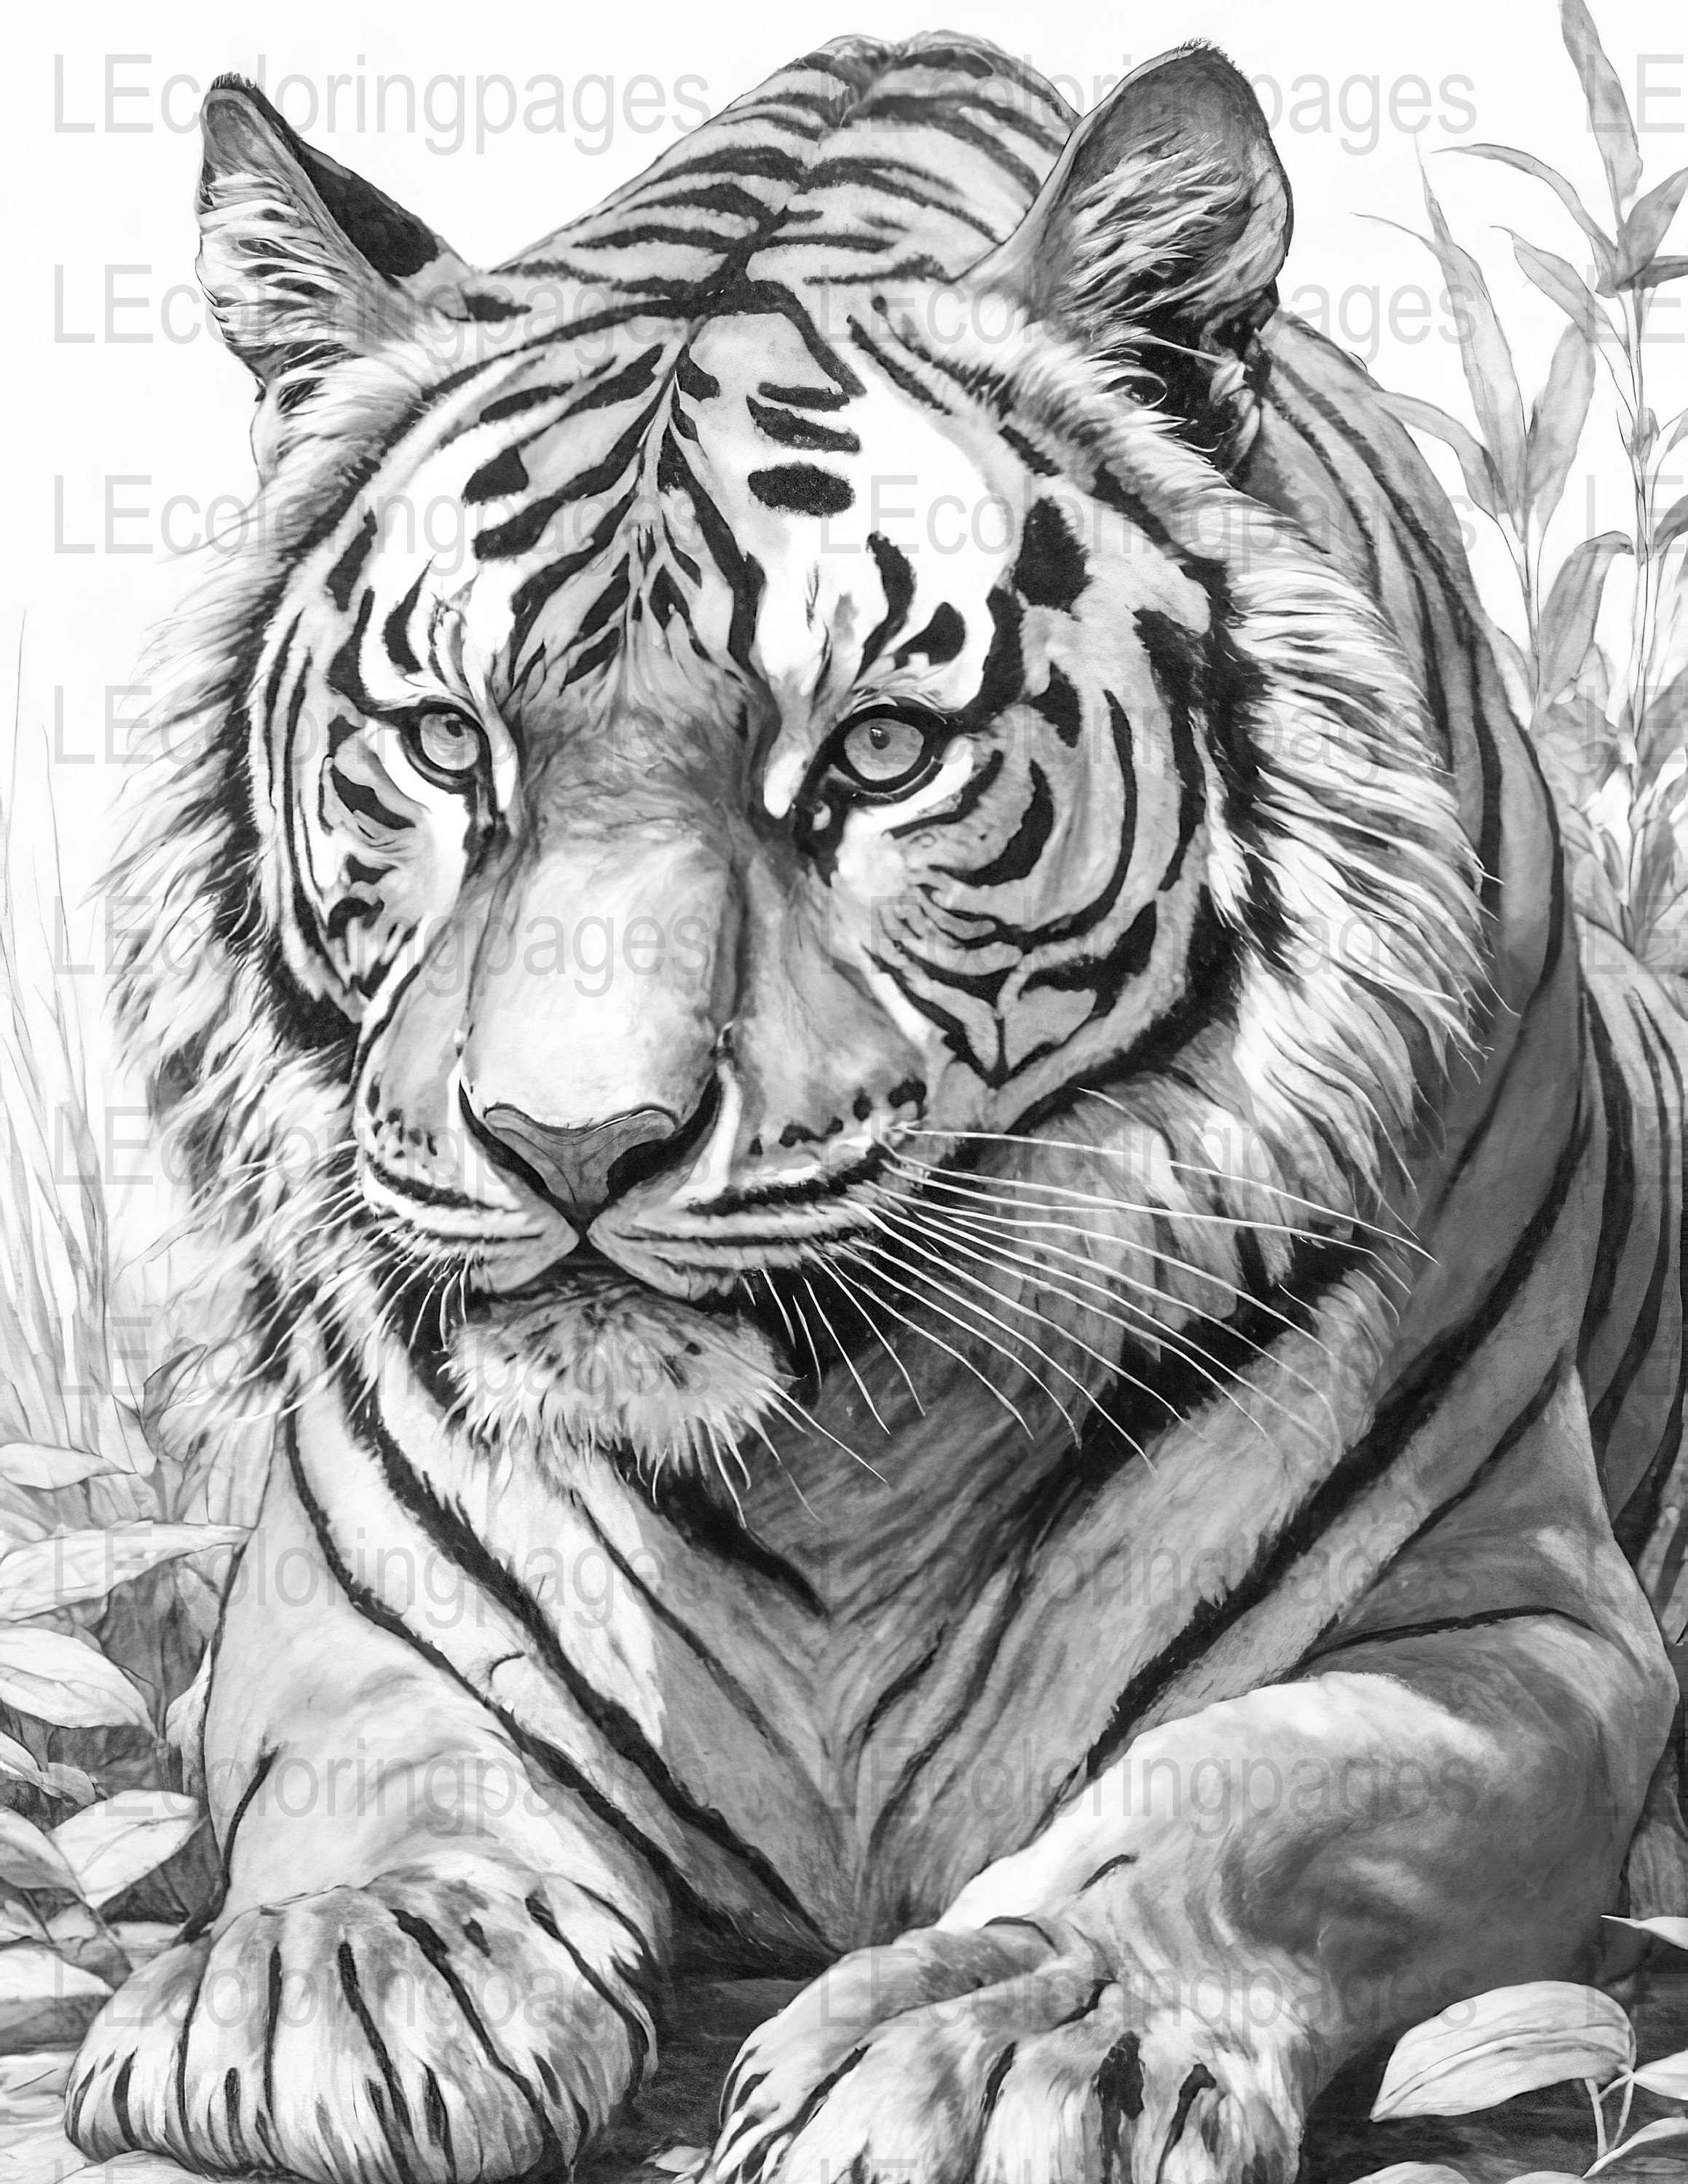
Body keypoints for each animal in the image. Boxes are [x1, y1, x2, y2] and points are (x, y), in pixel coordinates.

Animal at [67, 30, 1688, 2184]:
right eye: (443, 743)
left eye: (882, 755)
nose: (572, 1150)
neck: (828, 1461)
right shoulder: (344, 1602)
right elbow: (370, 1767)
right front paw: (348, 1969)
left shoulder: (1513, 1629)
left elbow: (1245, 1795)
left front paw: (1002, 2039)